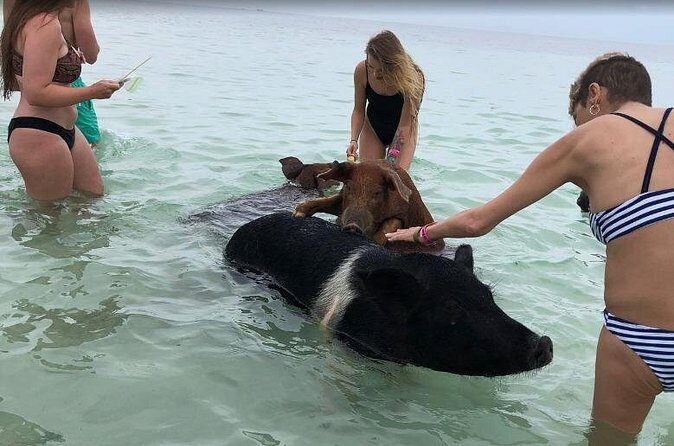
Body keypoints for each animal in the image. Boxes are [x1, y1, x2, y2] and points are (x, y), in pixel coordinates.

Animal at [293, 160, 444, 251]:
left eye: (377, 193)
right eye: (349, 187)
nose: (353, 225)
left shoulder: (403, 215)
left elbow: (391, 223)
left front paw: (373, 241)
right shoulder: (342, 202)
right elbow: (326, 201)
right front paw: (297, 214)